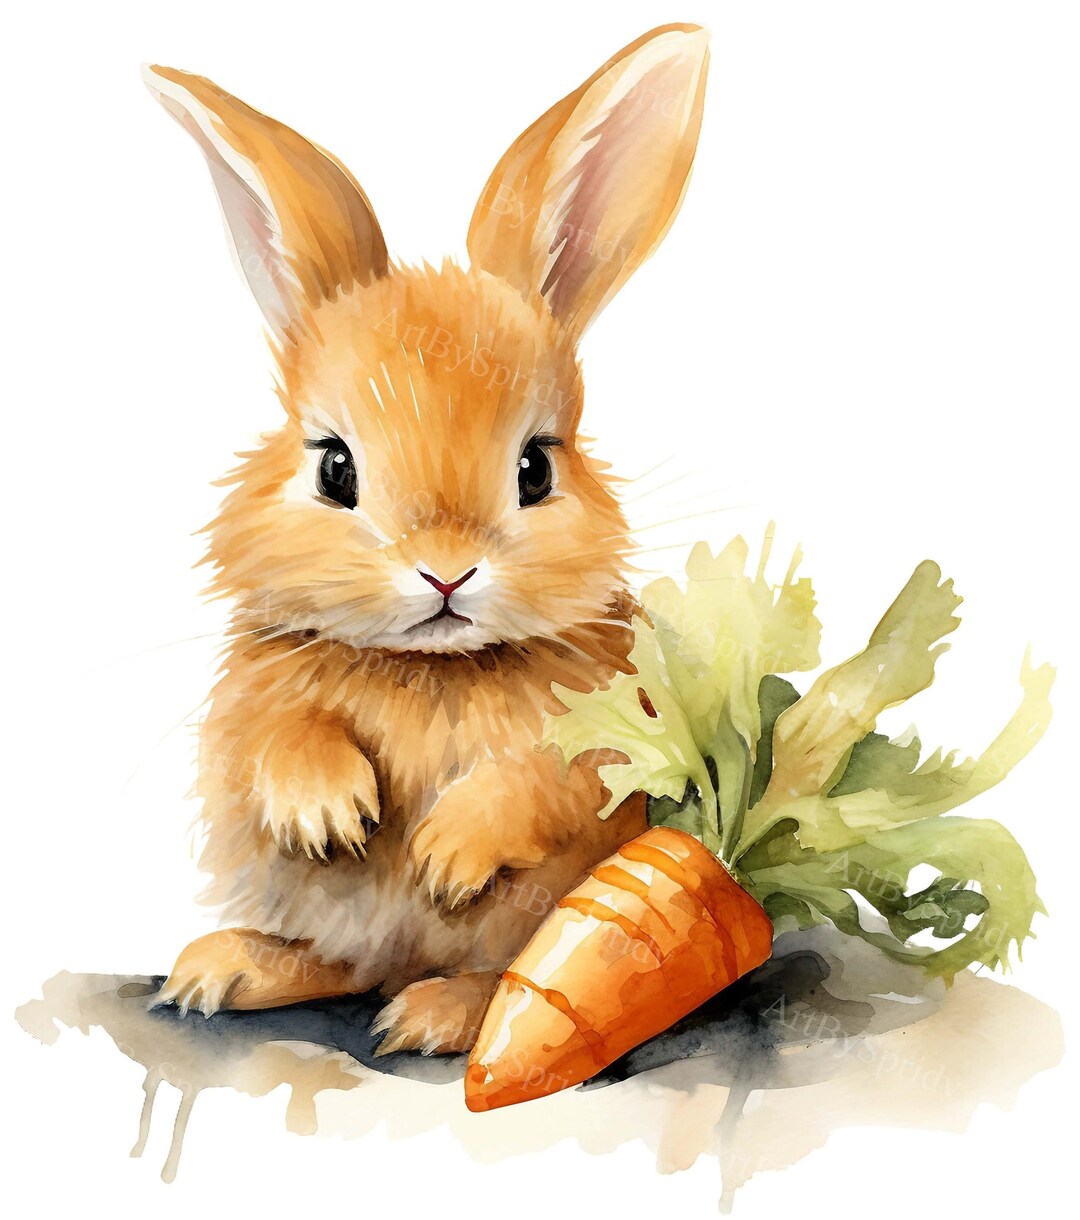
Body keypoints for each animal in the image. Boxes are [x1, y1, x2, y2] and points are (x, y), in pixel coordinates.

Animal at [144, 23, 710, 1055]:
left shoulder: (607, 734)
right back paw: (228, 967)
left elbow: (546, 777)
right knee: (344, 962)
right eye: (334, 468)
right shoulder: (251, 705)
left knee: (501, 973)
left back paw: (438, 1014)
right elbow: (276, 739)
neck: (432, 670)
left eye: (536, 469)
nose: (446, 573)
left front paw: (446, 851)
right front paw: (330, 812)